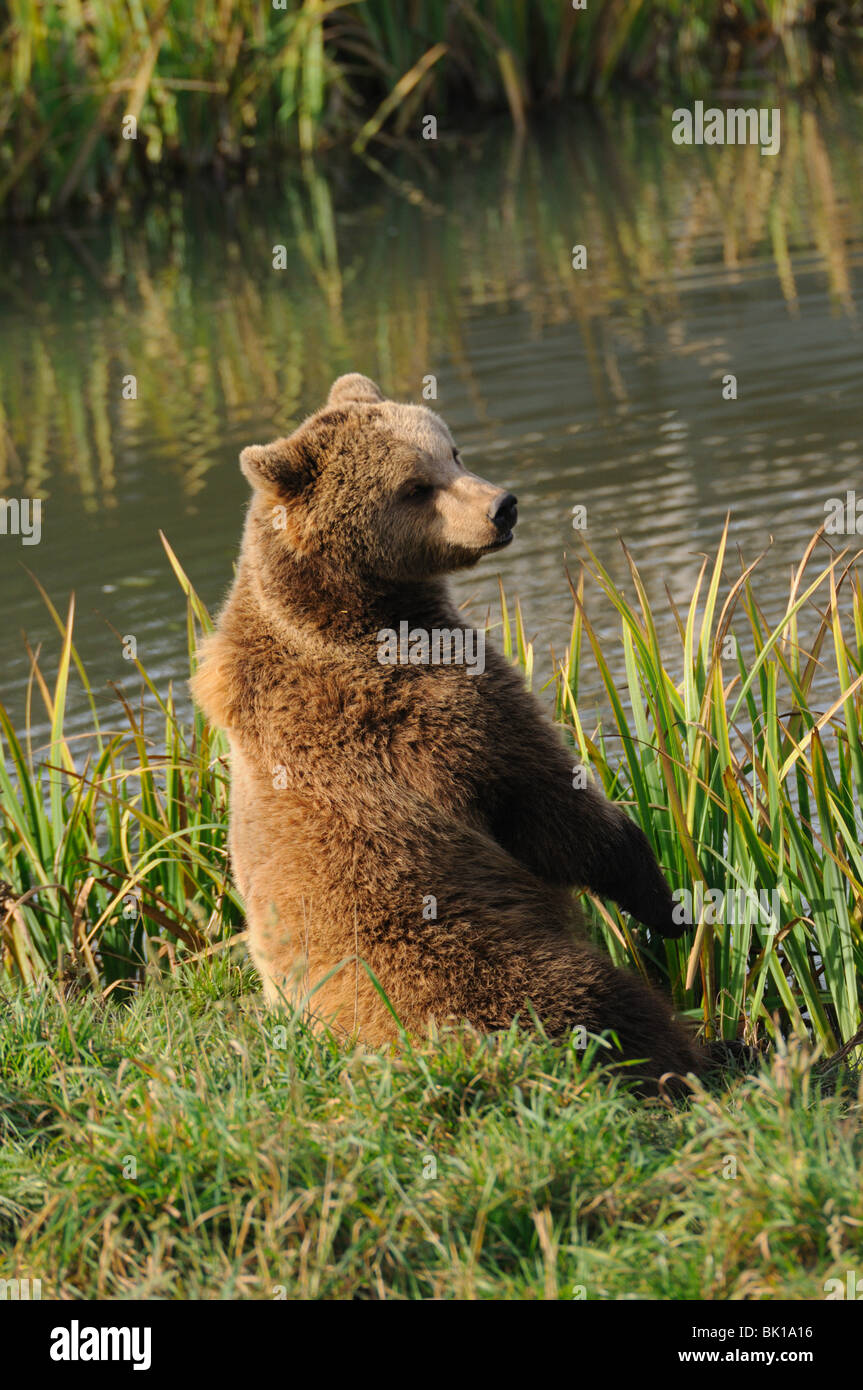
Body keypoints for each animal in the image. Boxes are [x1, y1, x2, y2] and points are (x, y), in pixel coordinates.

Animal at [191, 373, 702, 1087]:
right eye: (413, 486)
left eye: (451, 452)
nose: (502, 507)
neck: (358, 610)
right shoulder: (438, 713)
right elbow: (550, 807)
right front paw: (664, 902)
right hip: (476, 967)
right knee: (595, 1006)